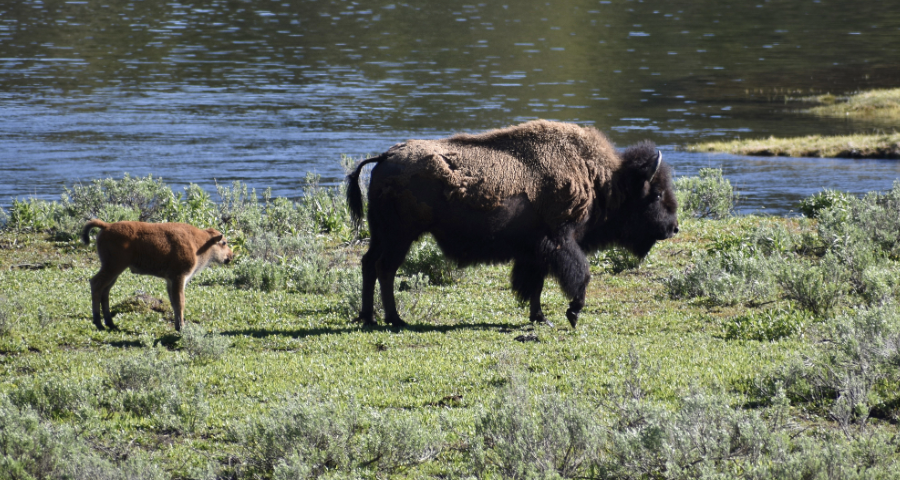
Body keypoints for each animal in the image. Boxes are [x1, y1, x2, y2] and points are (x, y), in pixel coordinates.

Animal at [346, 120, 678, 328]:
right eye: (656, 194)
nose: (673, 228)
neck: (601, 180)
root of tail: (386, 156)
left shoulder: (535, 252)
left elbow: (535, 285)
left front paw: (540, 318)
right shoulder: (560, 241)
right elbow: (580, 275)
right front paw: (572, 313)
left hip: (382, 235)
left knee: (369, 264)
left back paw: (369, 317)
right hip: (399, 236)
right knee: (385, 269)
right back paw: (394, 319)